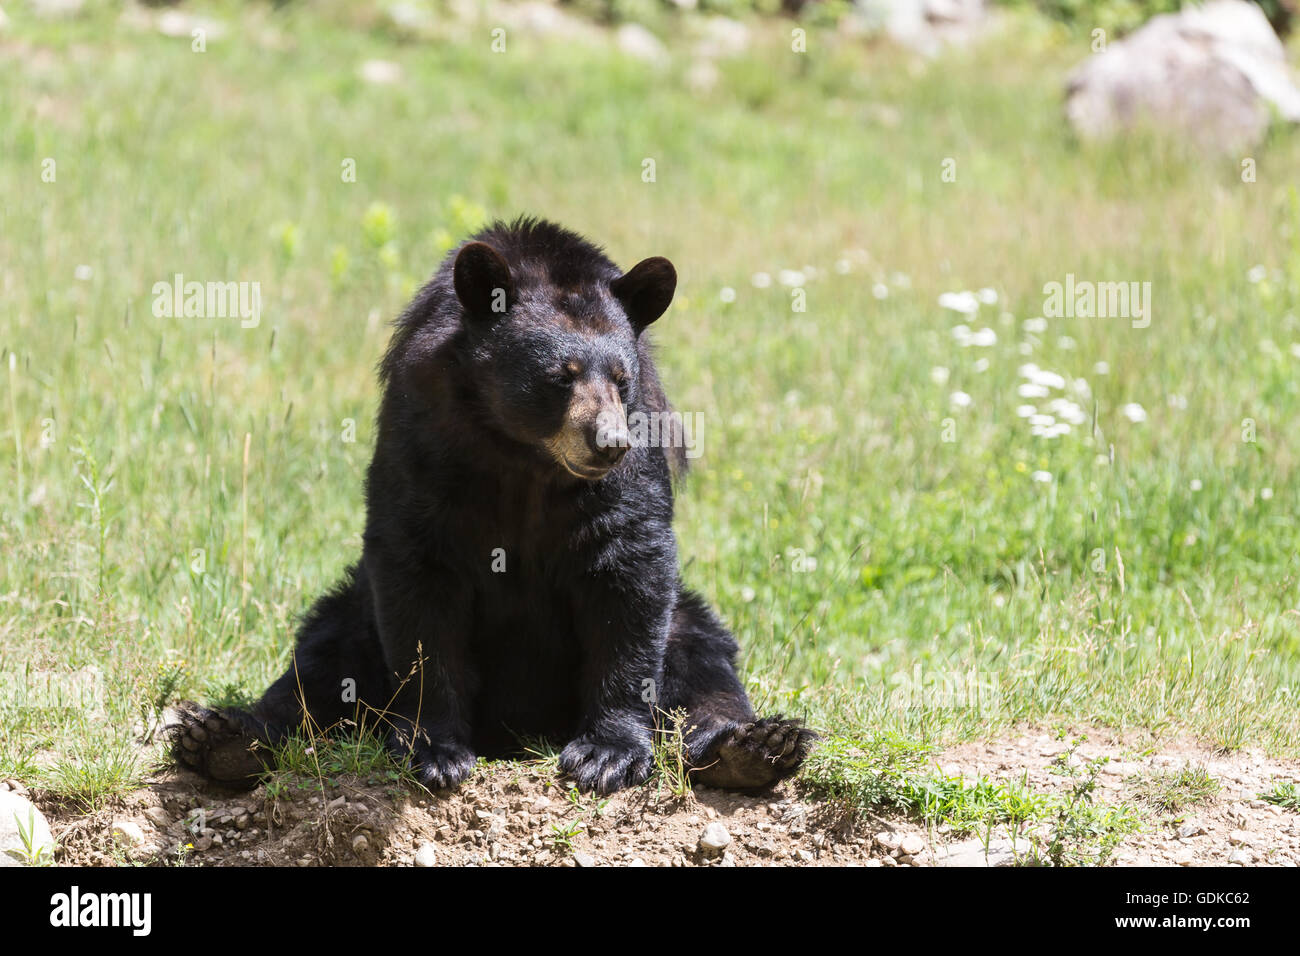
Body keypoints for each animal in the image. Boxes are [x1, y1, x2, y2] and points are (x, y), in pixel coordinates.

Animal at [172, 217, 815, 795]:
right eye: (561, 375)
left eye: (621, 378)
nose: (608, 442)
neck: (524, 455)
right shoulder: (423, 434)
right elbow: (418, 581)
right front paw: (435, 751)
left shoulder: (633, 466)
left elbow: (629, 573)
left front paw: (606, 756)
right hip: (353, 612)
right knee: (318, 665)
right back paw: (222, 738)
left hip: (688, 623)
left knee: (703, 663)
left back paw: (757, 747)